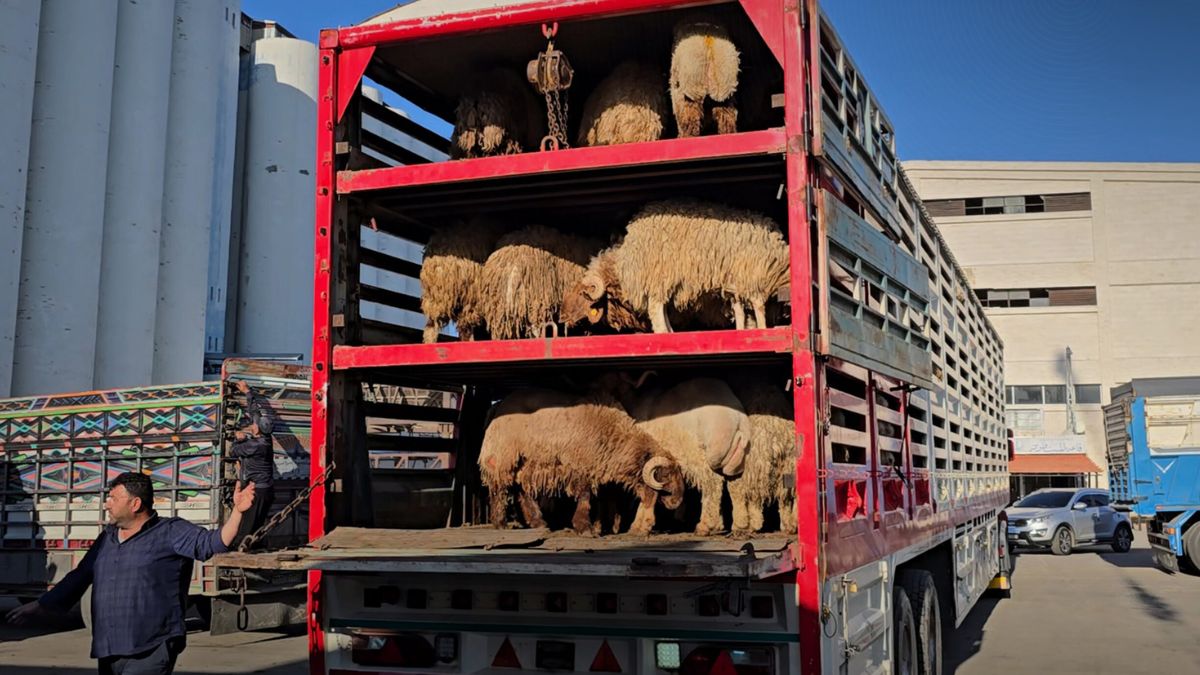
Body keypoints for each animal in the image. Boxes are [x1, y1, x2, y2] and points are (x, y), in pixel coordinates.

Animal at [478, 388, 685, 535]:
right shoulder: (580, 466)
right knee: (498, 488)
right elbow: (585, 496)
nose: (677, 501)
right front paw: (585, 527)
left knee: (521, 489)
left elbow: (601, 500)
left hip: (525, 461)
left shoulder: (598, 469)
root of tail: (498, 405)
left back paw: (538, 521)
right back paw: (500, 523)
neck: (612, 436)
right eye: (666, 474)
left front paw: (600, 527)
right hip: (502, 457)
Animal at [562, 199, 790, 335]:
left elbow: (745, 308)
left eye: (582, 293)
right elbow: (755, 305)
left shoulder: (744, 280)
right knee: (657, 308)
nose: (562, 317)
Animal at [726, 378, 798, 535]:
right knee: (787, 498)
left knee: (753, 497)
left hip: (754, 465)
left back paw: (751, 525)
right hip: (789, 465)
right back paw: (790, 525)